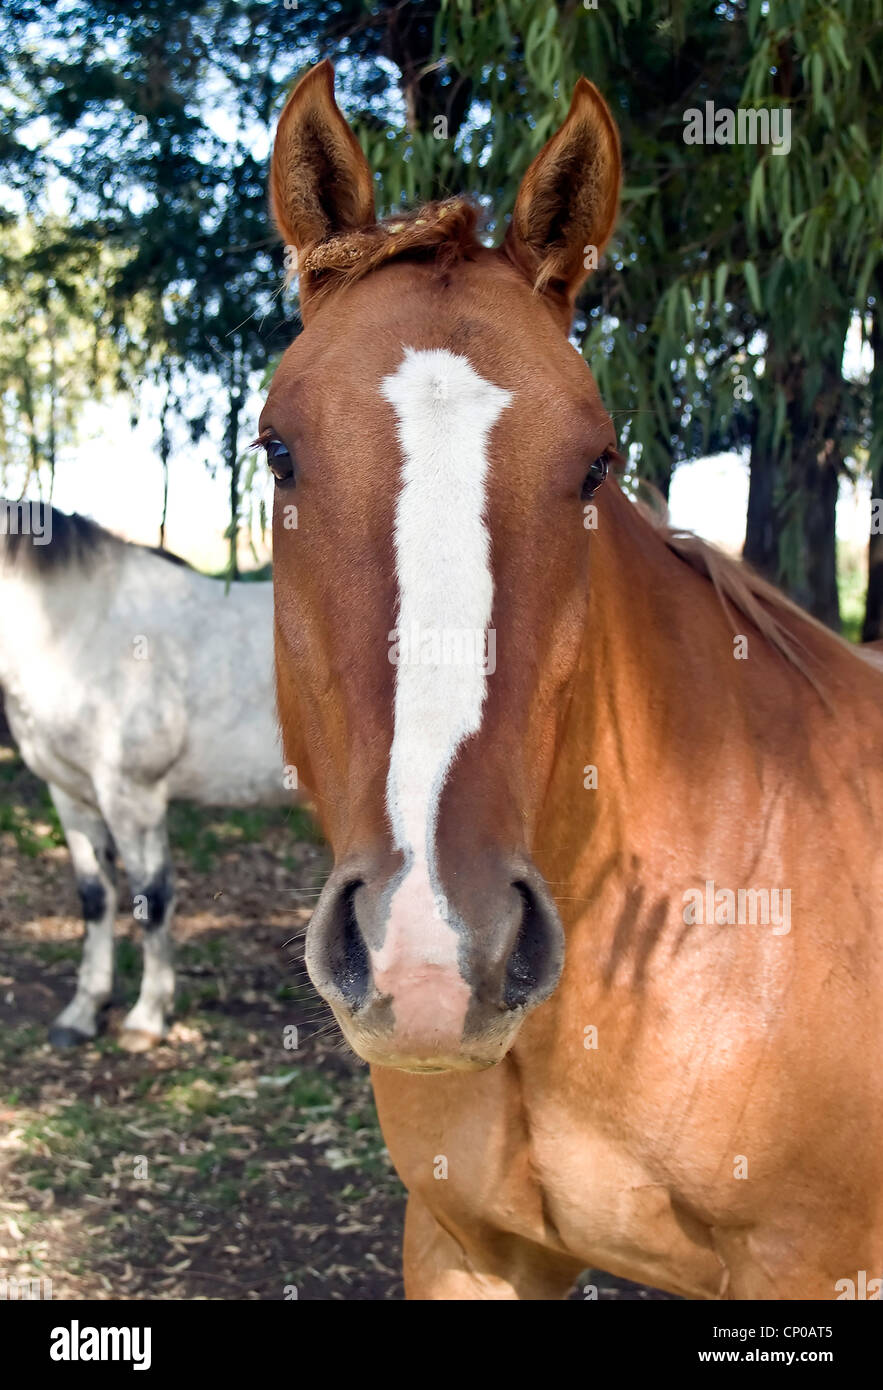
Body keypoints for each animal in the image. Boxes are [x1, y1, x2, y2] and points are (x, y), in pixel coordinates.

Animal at [0, 502, 288, 1050]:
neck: (78, 630)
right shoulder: (71, 795)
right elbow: (96, 897)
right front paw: (83, 1012)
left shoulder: (132, 796)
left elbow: (152, 898)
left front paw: (146, 1018)